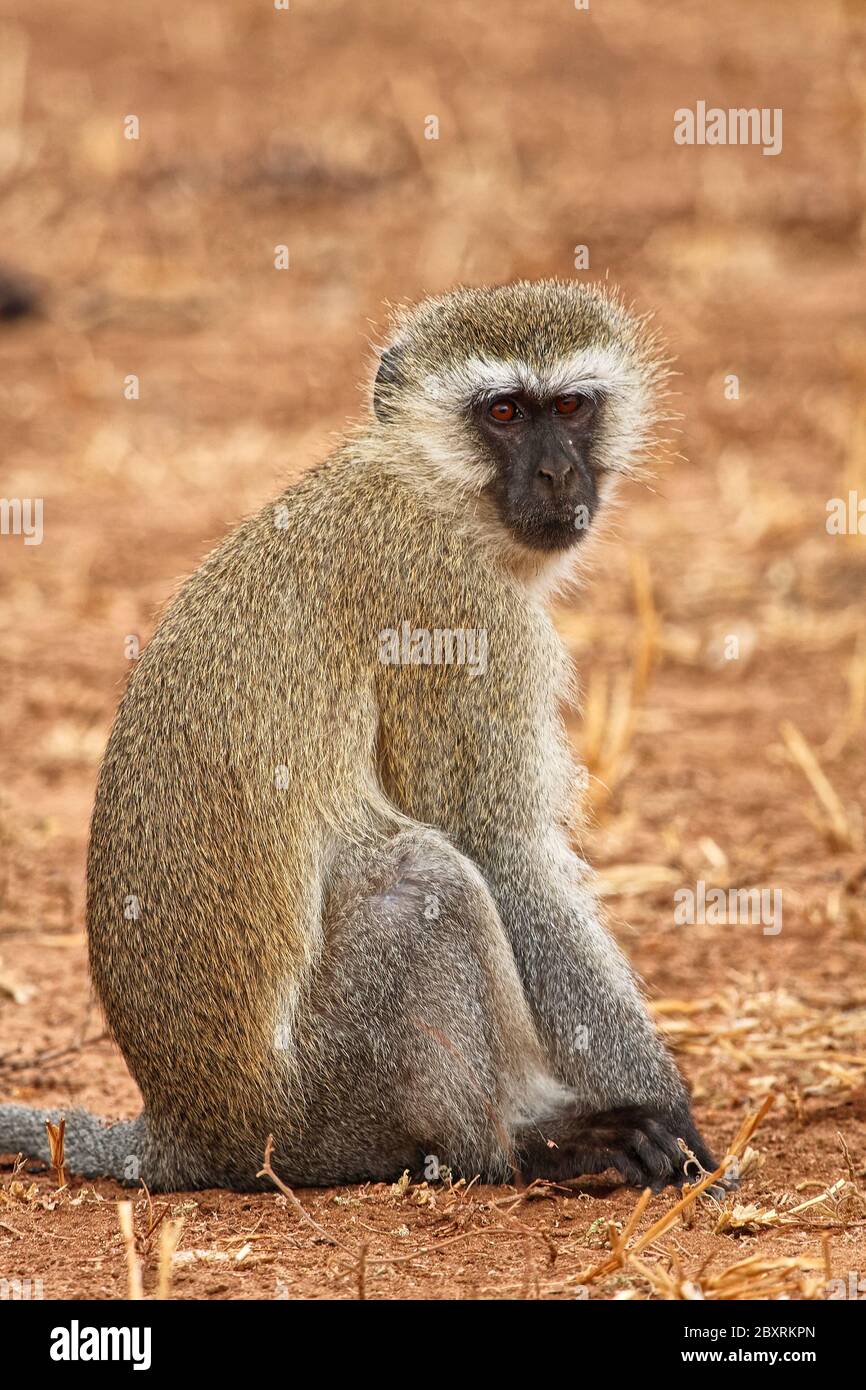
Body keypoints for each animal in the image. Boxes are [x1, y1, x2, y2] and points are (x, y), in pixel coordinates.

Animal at [0, 279, 719, 1193]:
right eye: (505, 412)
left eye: (570, 406)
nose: (559, 472)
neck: (430, 484)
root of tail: (188, 1130)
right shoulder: (459, 611)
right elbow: (504, 854)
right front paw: (668, 1109)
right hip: (327, 1099)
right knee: (423, 885)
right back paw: (518, 1148)